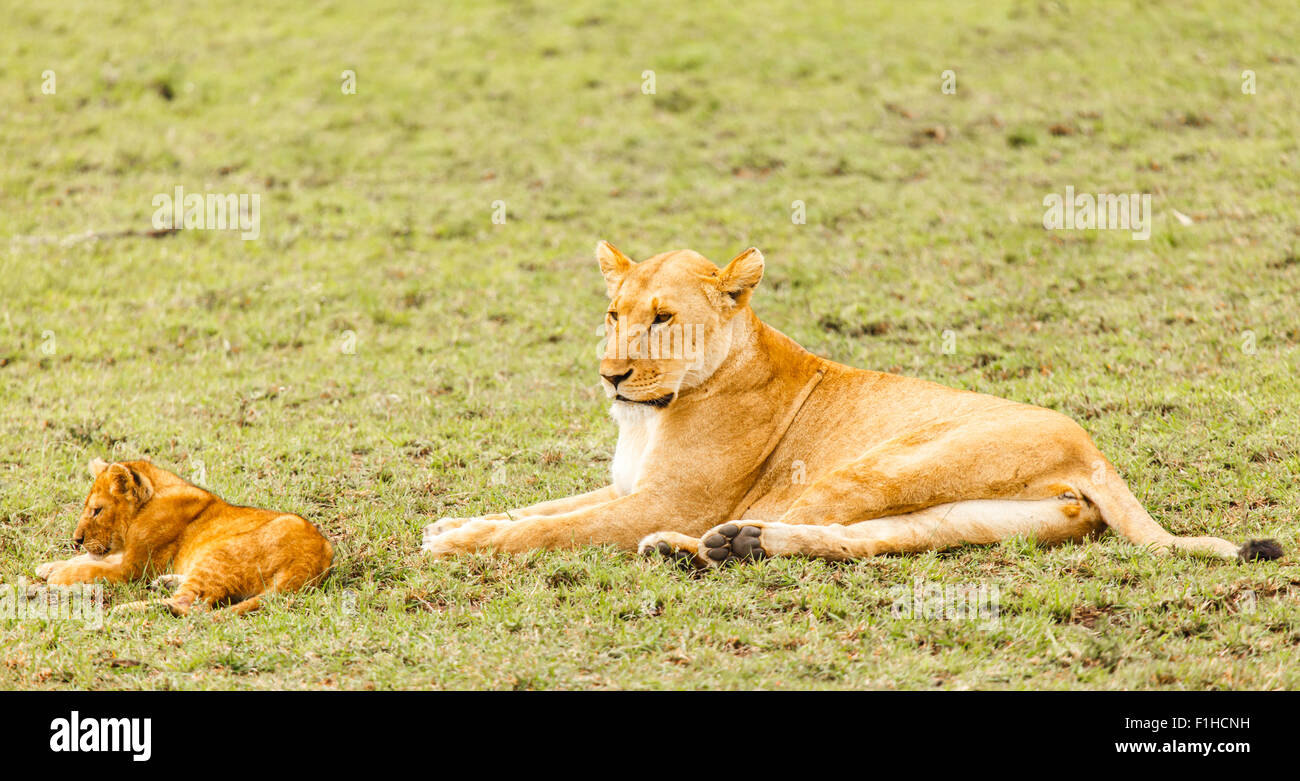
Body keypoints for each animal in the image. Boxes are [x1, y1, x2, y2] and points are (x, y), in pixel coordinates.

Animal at [36, 459, 333, 615]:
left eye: (97, 510)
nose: (76, 540)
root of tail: (313, 560)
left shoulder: (134, 567)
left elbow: (92, 568)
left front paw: (58, 575)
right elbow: (86, 560)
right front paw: (48, 566)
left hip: (219, 553)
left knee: (189, 604)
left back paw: (125, 609)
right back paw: (165, 582)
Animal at [421, 242, 1283, 567]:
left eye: (663, 318)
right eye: (614, 312)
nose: (610, 374)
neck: (652, 411)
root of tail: (1091, 448)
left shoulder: (664, 498)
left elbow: (550, 526)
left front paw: (455, 543)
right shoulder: (629, 486)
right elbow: (540, 506)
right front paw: (456, 521)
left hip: (880, 463)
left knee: (805, 524)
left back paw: (692, 549)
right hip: (958, 513)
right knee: (858, 539)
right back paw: (738, 543)